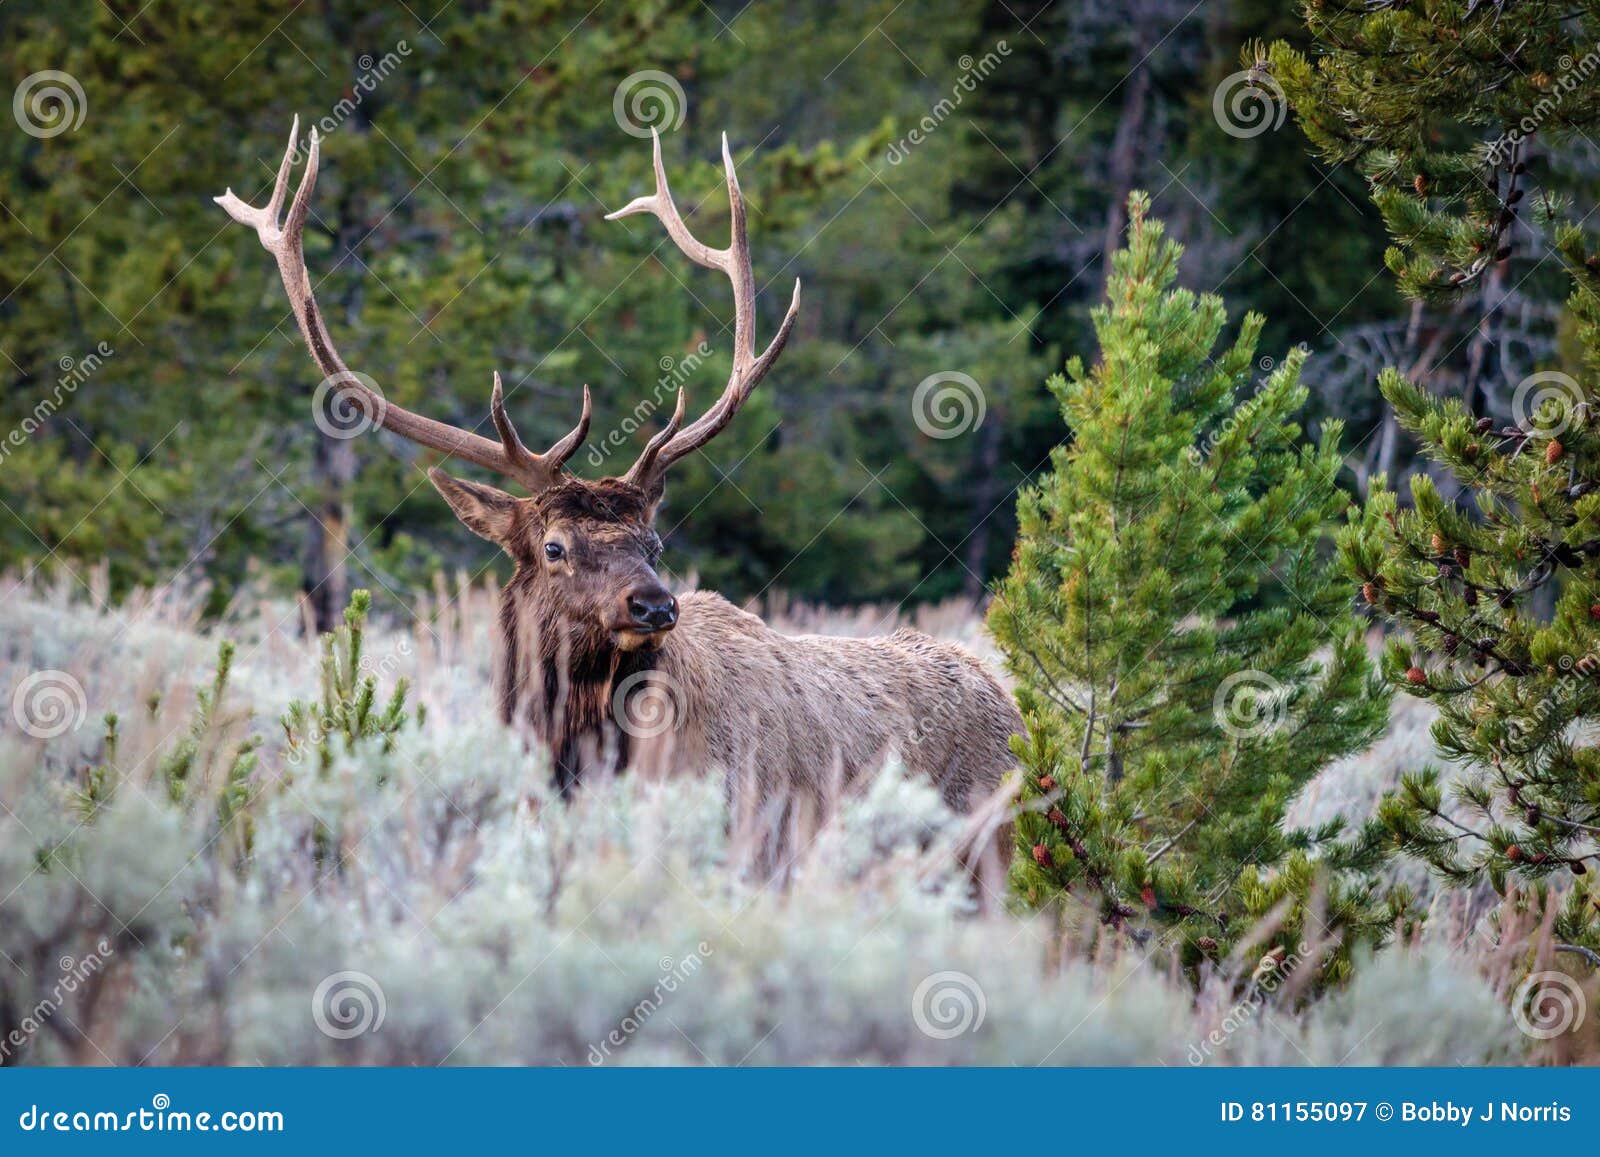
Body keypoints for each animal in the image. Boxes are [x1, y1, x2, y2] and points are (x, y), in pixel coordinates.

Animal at [217, 119, 1022, 879]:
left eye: (655, 542)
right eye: (553, 546)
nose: (655, 605)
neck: (578, 764)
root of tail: (1013, 707)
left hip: (990, 854)